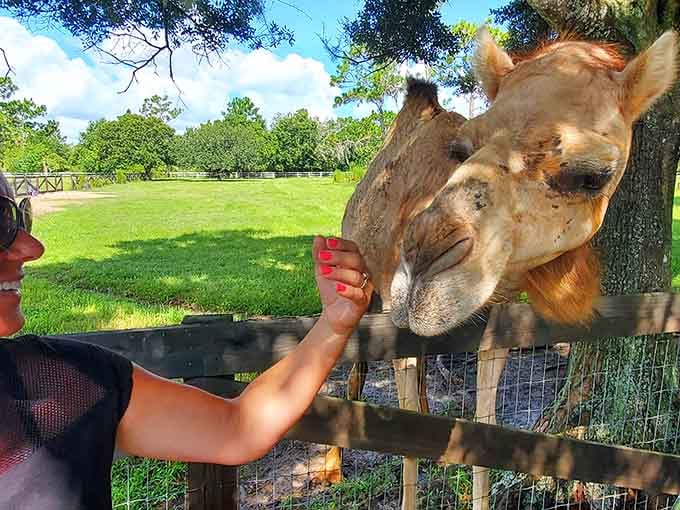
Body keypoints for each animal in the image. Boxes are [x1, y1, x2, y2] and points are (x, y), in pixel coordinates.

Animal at [319, 28, 678, 510]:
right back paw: (332, 470)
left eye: (592, 177)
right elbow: (403, 419)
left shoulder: (497, 323)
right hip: (365, 277)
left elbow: (485, 427)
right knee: (357, 367)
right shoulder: (397, 312)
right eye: (462, 149)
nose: (422, 259)